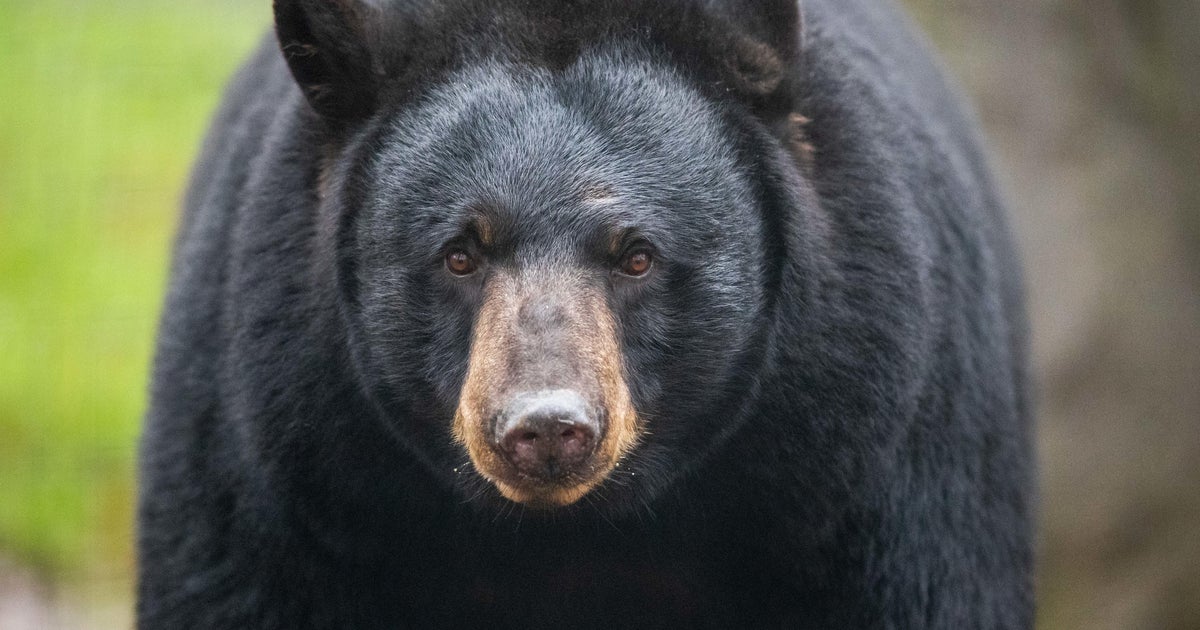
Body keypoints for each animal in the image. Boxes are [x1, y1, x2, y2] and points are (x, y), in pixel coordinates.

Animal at [137, 0, 1034, 628]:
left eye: (636, 255)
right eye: (459, 253)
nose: (545, 428)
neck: (576, 540)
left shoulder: (868, 468)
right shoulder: (286, 471)